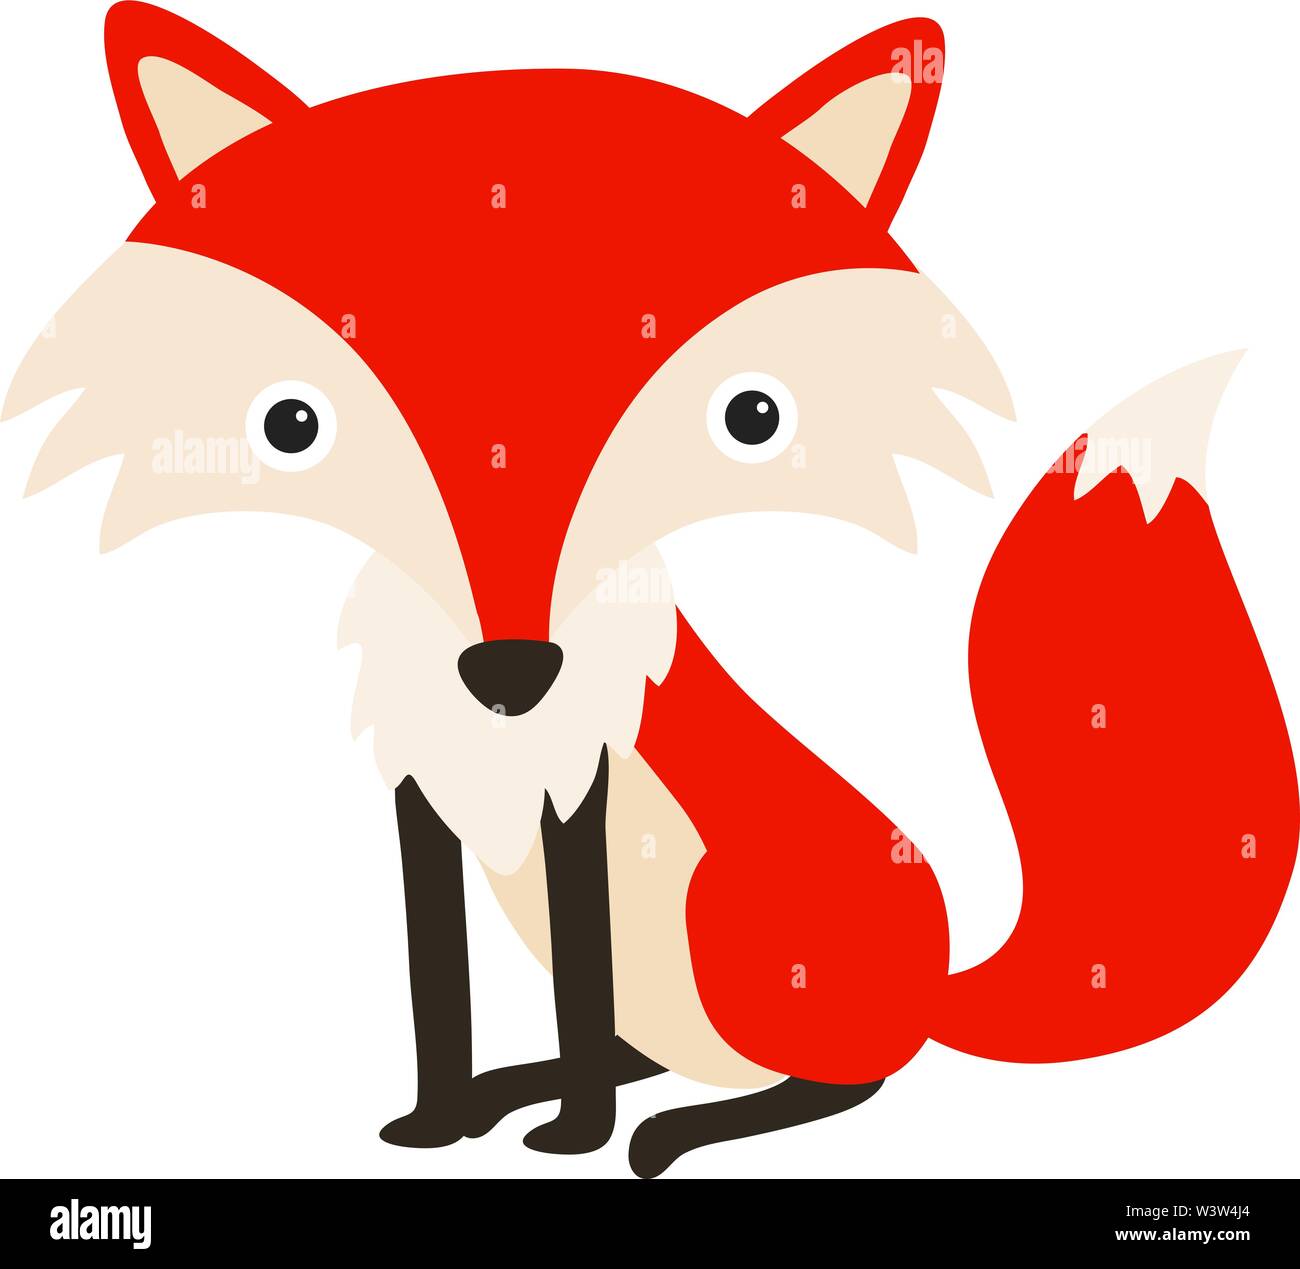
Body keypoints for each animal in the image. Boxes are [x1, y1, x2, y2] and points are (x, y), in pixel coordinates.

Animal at [3, 3, 1296, 1180]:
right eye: (290, 425)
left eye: (752, 417)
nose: (511, 674)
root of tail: (932, 978)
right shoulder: (421, 804)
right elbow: (439, 991)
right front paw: (438, 1119)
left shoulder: (582, 798)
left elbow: (581, 988)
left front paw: (572, 1137)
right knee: (658, 1050)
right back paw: (530, 1093)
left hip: (727, 912)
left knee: (835, 1080)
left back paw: (670, 1131)